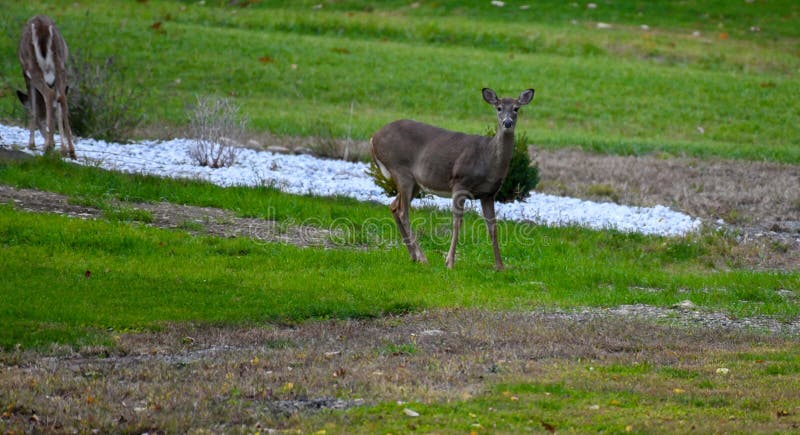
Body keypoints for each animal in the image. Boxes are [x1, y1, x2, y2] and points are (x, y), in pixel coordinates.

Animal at [17, 15, 75, 159]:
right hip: (60, 65)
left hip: (32, 67)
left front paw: (31, 145)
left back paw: (47, 147)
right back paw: (71, 151)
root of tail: (42, 29)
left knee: (49, 94)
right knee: (62, 98)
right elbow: (57, 106)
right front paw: (62, 149)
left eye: (40, 121)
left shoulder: (25, 75)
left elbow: (33, 107)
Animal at [370, 88, 535, 270]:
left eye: (516, 108)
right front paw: (449, 262)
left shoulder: (489, 194)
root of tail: (373, 139)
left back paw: (413, 256)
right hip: (400, 169)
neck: (488, 159)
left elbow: (493, 226)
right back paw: (423, 257)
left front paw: (500, 266)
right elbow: (457, 222)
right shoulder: (459, 183)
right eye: (498, 108)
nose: (507, 123)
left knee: (393, 206)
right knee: (403, 211)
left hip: (415, 182)